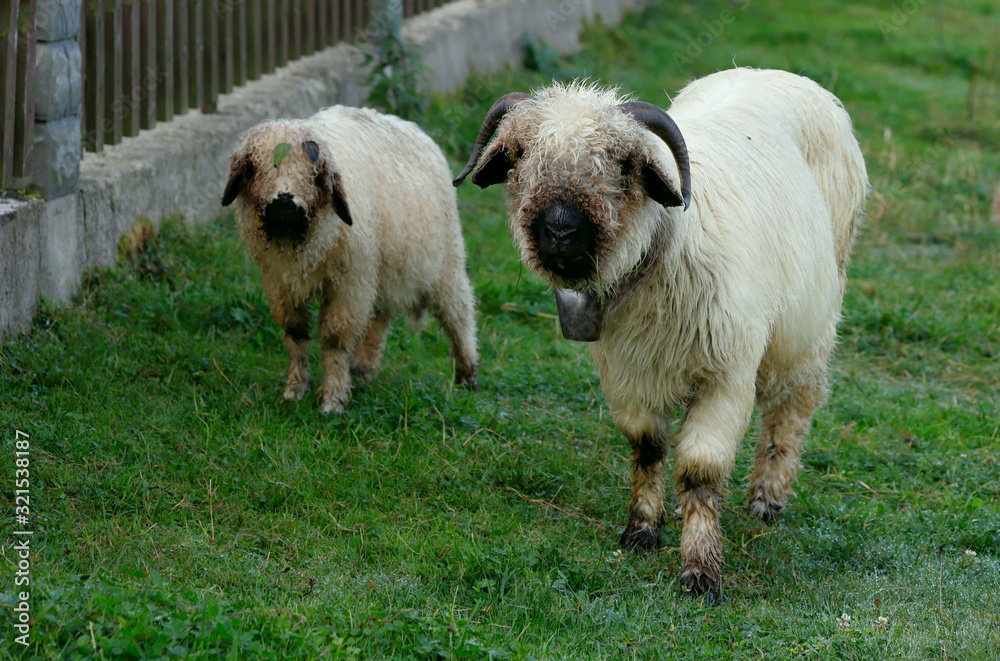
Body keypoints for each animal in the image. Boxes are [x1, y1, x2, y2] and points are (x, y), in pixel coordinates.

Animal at [222, 105, 479, 413]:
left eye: (313, 173)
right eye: (255, 166)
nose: (284, 204)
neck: (303, 240)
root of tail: (409, 125)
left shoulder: (349, 282)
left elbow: (335, 338)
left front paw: (333, 399)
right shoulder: (281, 282)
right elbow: (294, 332)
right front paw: (295, 388)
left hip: (444, 259)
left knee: (458, 311)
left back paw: (467, 374)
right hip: (384, 265)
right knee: (380, 314)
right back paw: (363, 367)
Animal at [454, 68, 868, 599]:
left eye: (624, 164)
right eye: (520, 154)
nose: (560, 231)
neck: (661, 253)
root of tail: (771, 71)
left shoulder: (726, 377)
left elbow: (700, 471)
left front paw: (700, 570)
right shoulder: (628, 374)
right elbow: (647, 448)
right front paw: (642, 529)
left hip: (812, 323)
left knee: (793, 408)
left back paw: (767, 497)